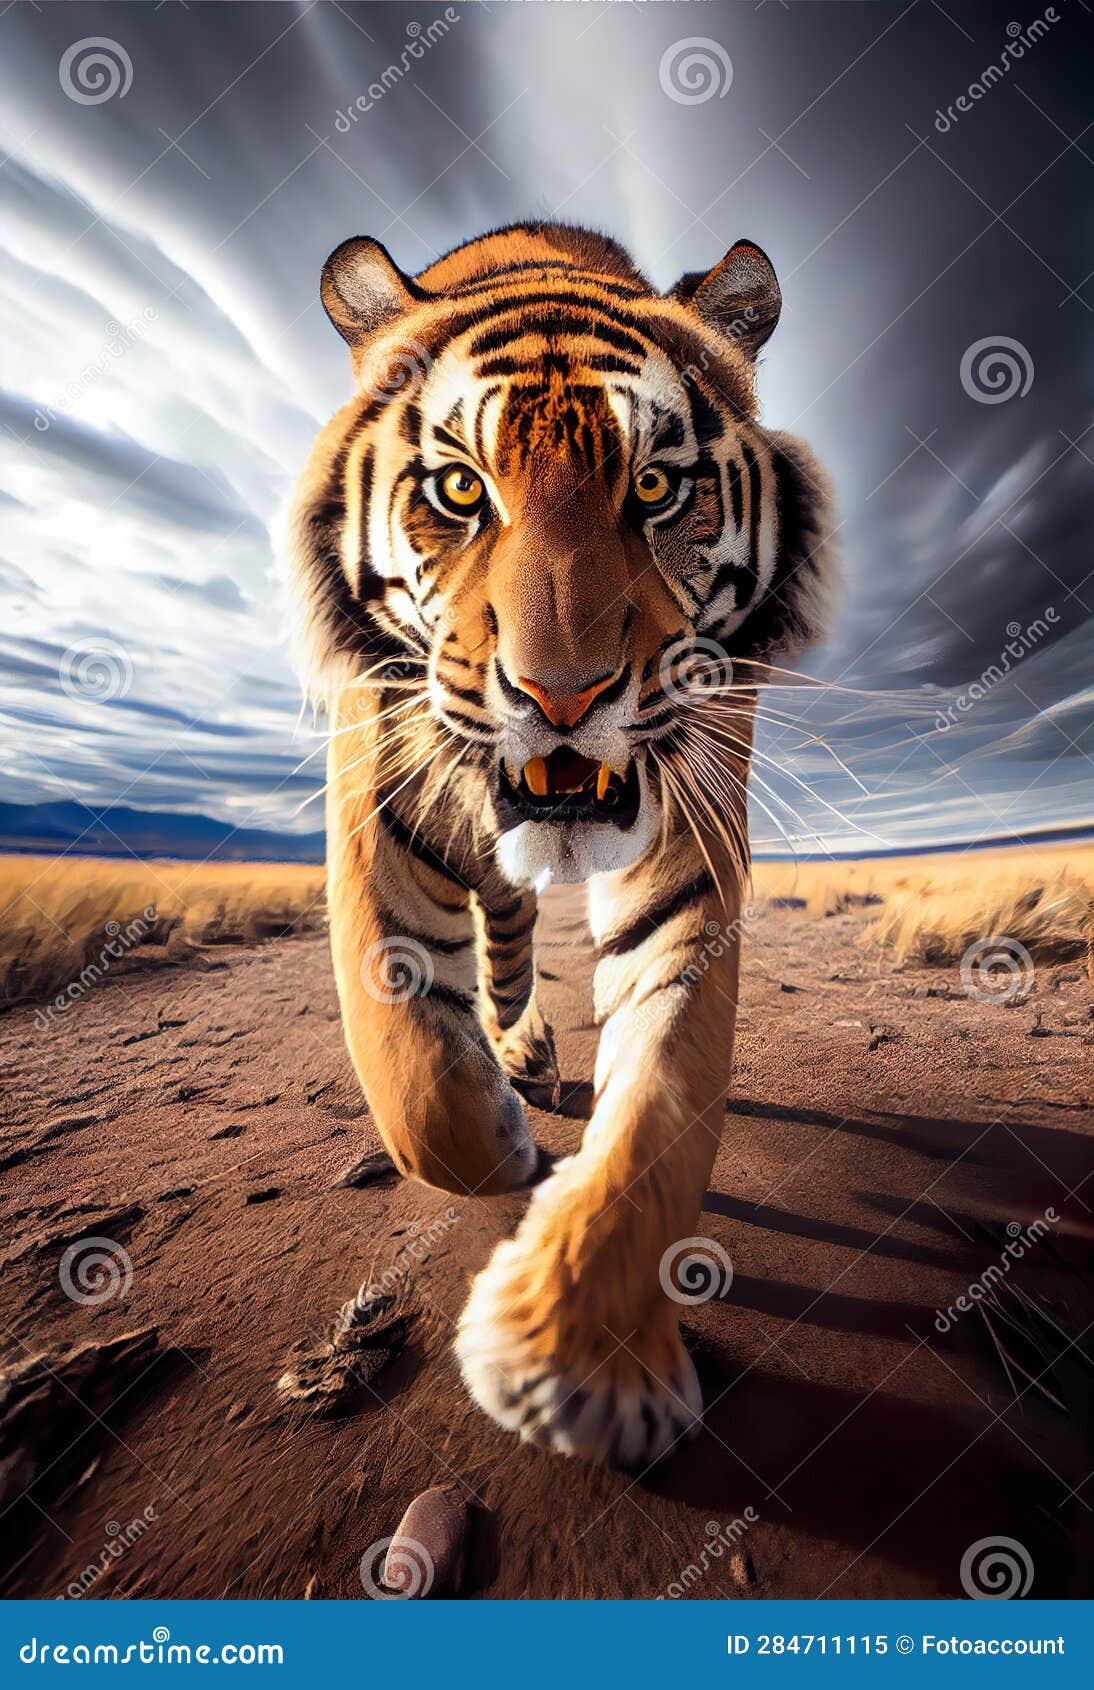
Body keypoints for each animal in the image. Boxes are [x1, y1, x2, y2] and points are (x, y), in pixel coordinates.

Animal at [284, 221, 838, 1468]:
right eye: (459, 488)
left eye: (653, 486)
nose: (562, 693)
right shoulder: (377, 801)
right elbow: (413, 1082)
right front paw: (499, 1138)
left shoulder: (687, 835)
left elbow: (664, 1098)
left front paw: (579, 1353)